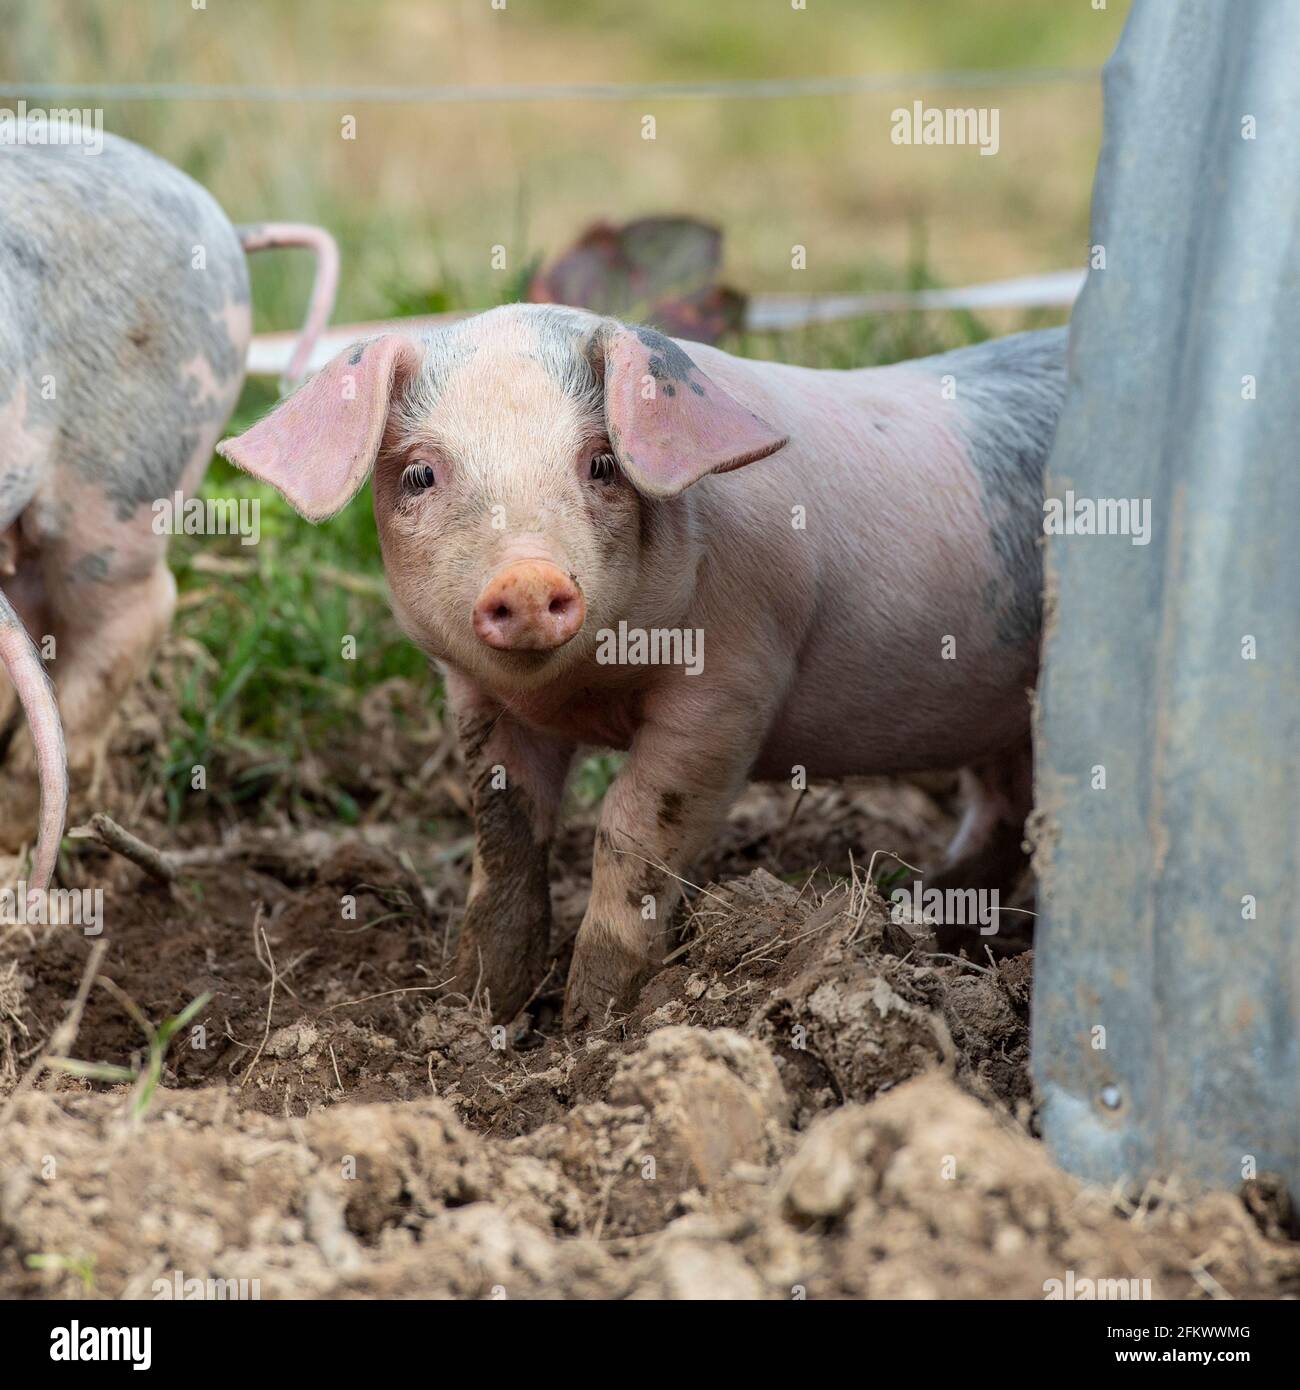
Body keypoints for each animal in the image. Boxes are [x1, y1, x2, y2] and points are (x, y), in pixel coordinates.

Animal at [219, 305, 1067, 1028]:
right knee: (1006, 805)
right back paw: (921, 909)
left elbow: (632, 824)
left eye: (601, 463)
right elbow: (504, 830)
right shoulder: (477, 697)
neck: (582, 692)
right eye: (421, 474)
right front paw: (476, 1005)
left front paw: (592, 1024)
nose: (526, 577)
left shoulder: (733, 682)